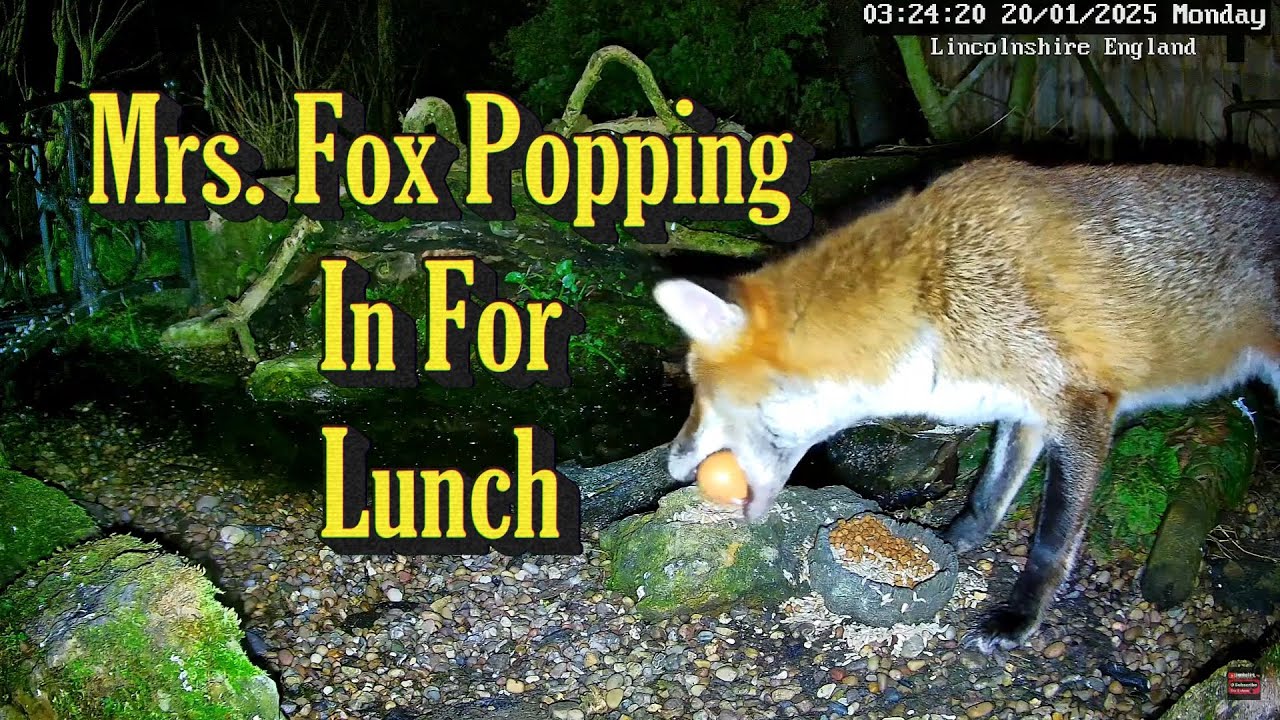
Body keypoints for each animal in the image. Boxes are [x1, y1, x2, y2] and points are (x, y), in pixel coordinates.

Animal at [652, 157, 1280, 653]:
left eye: (700, 395)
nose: (673, 465)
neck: (934, 298)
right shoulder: (1026, 412)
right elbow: (987, 495)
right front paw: (951, 542)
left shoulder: (1079, 408)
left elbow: (1051, 541)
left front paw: (1020, 617)